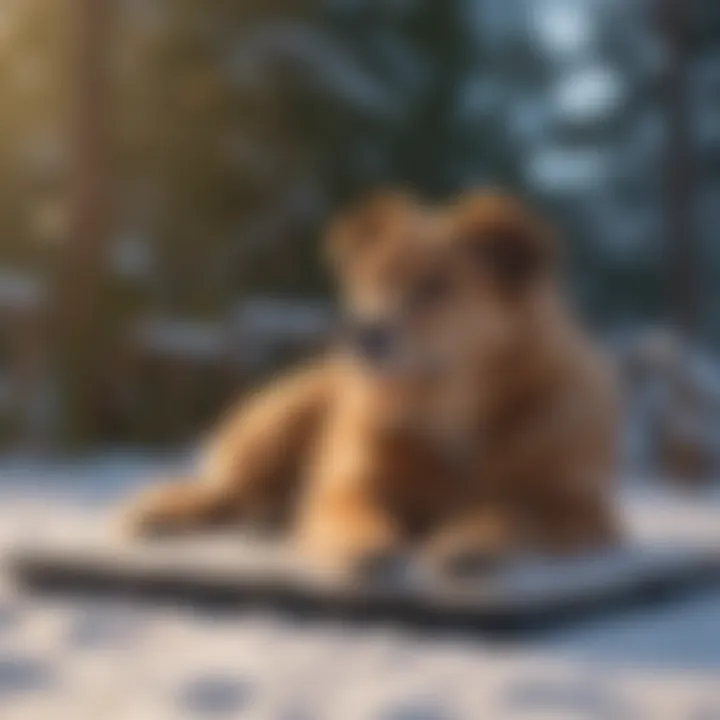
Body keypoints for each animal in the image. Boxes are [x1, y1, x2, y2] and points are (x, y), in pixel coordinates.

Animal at [124, 188, 620, 576]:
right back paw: (175, 512)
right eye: (375, 278)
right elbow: (349, 505)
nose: (364, 333)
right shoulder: (348, 483)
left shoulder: (586, 511)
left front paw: (471, 537)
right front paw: (364, 541)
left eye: (436, 285)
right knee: (226, 492)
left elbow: (514, 510)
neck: (451, 412)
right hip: (280, 419)